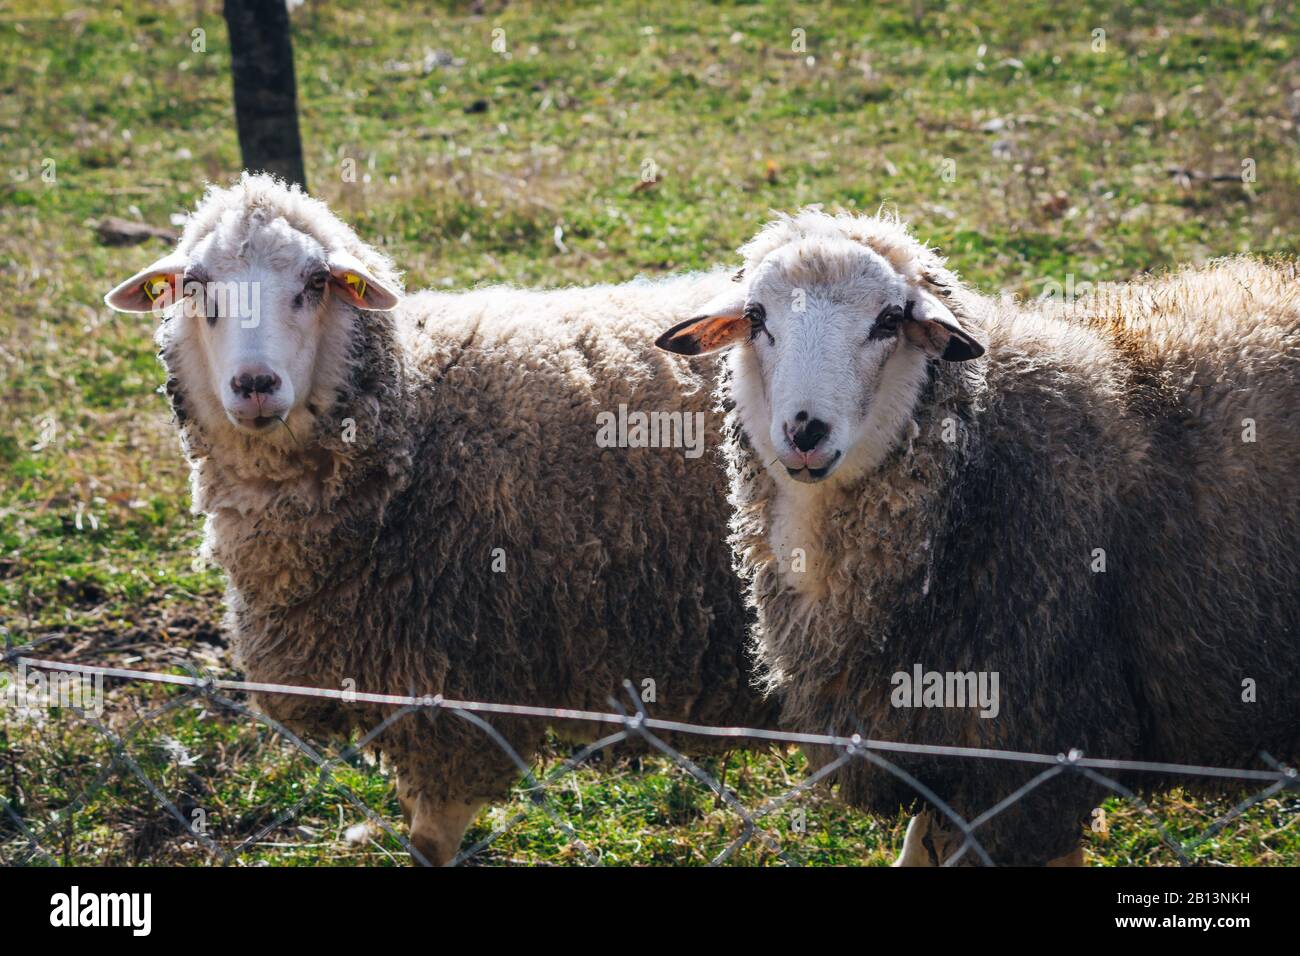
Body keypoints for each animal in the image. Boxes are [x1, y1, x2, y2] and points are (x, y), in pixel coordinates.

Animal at [103, 173, 779, 865]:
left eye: (316, 282)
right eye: (195, 285)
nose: (255, 384)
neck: (417, 418)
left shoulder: (454, 703)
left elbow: (428, 841)